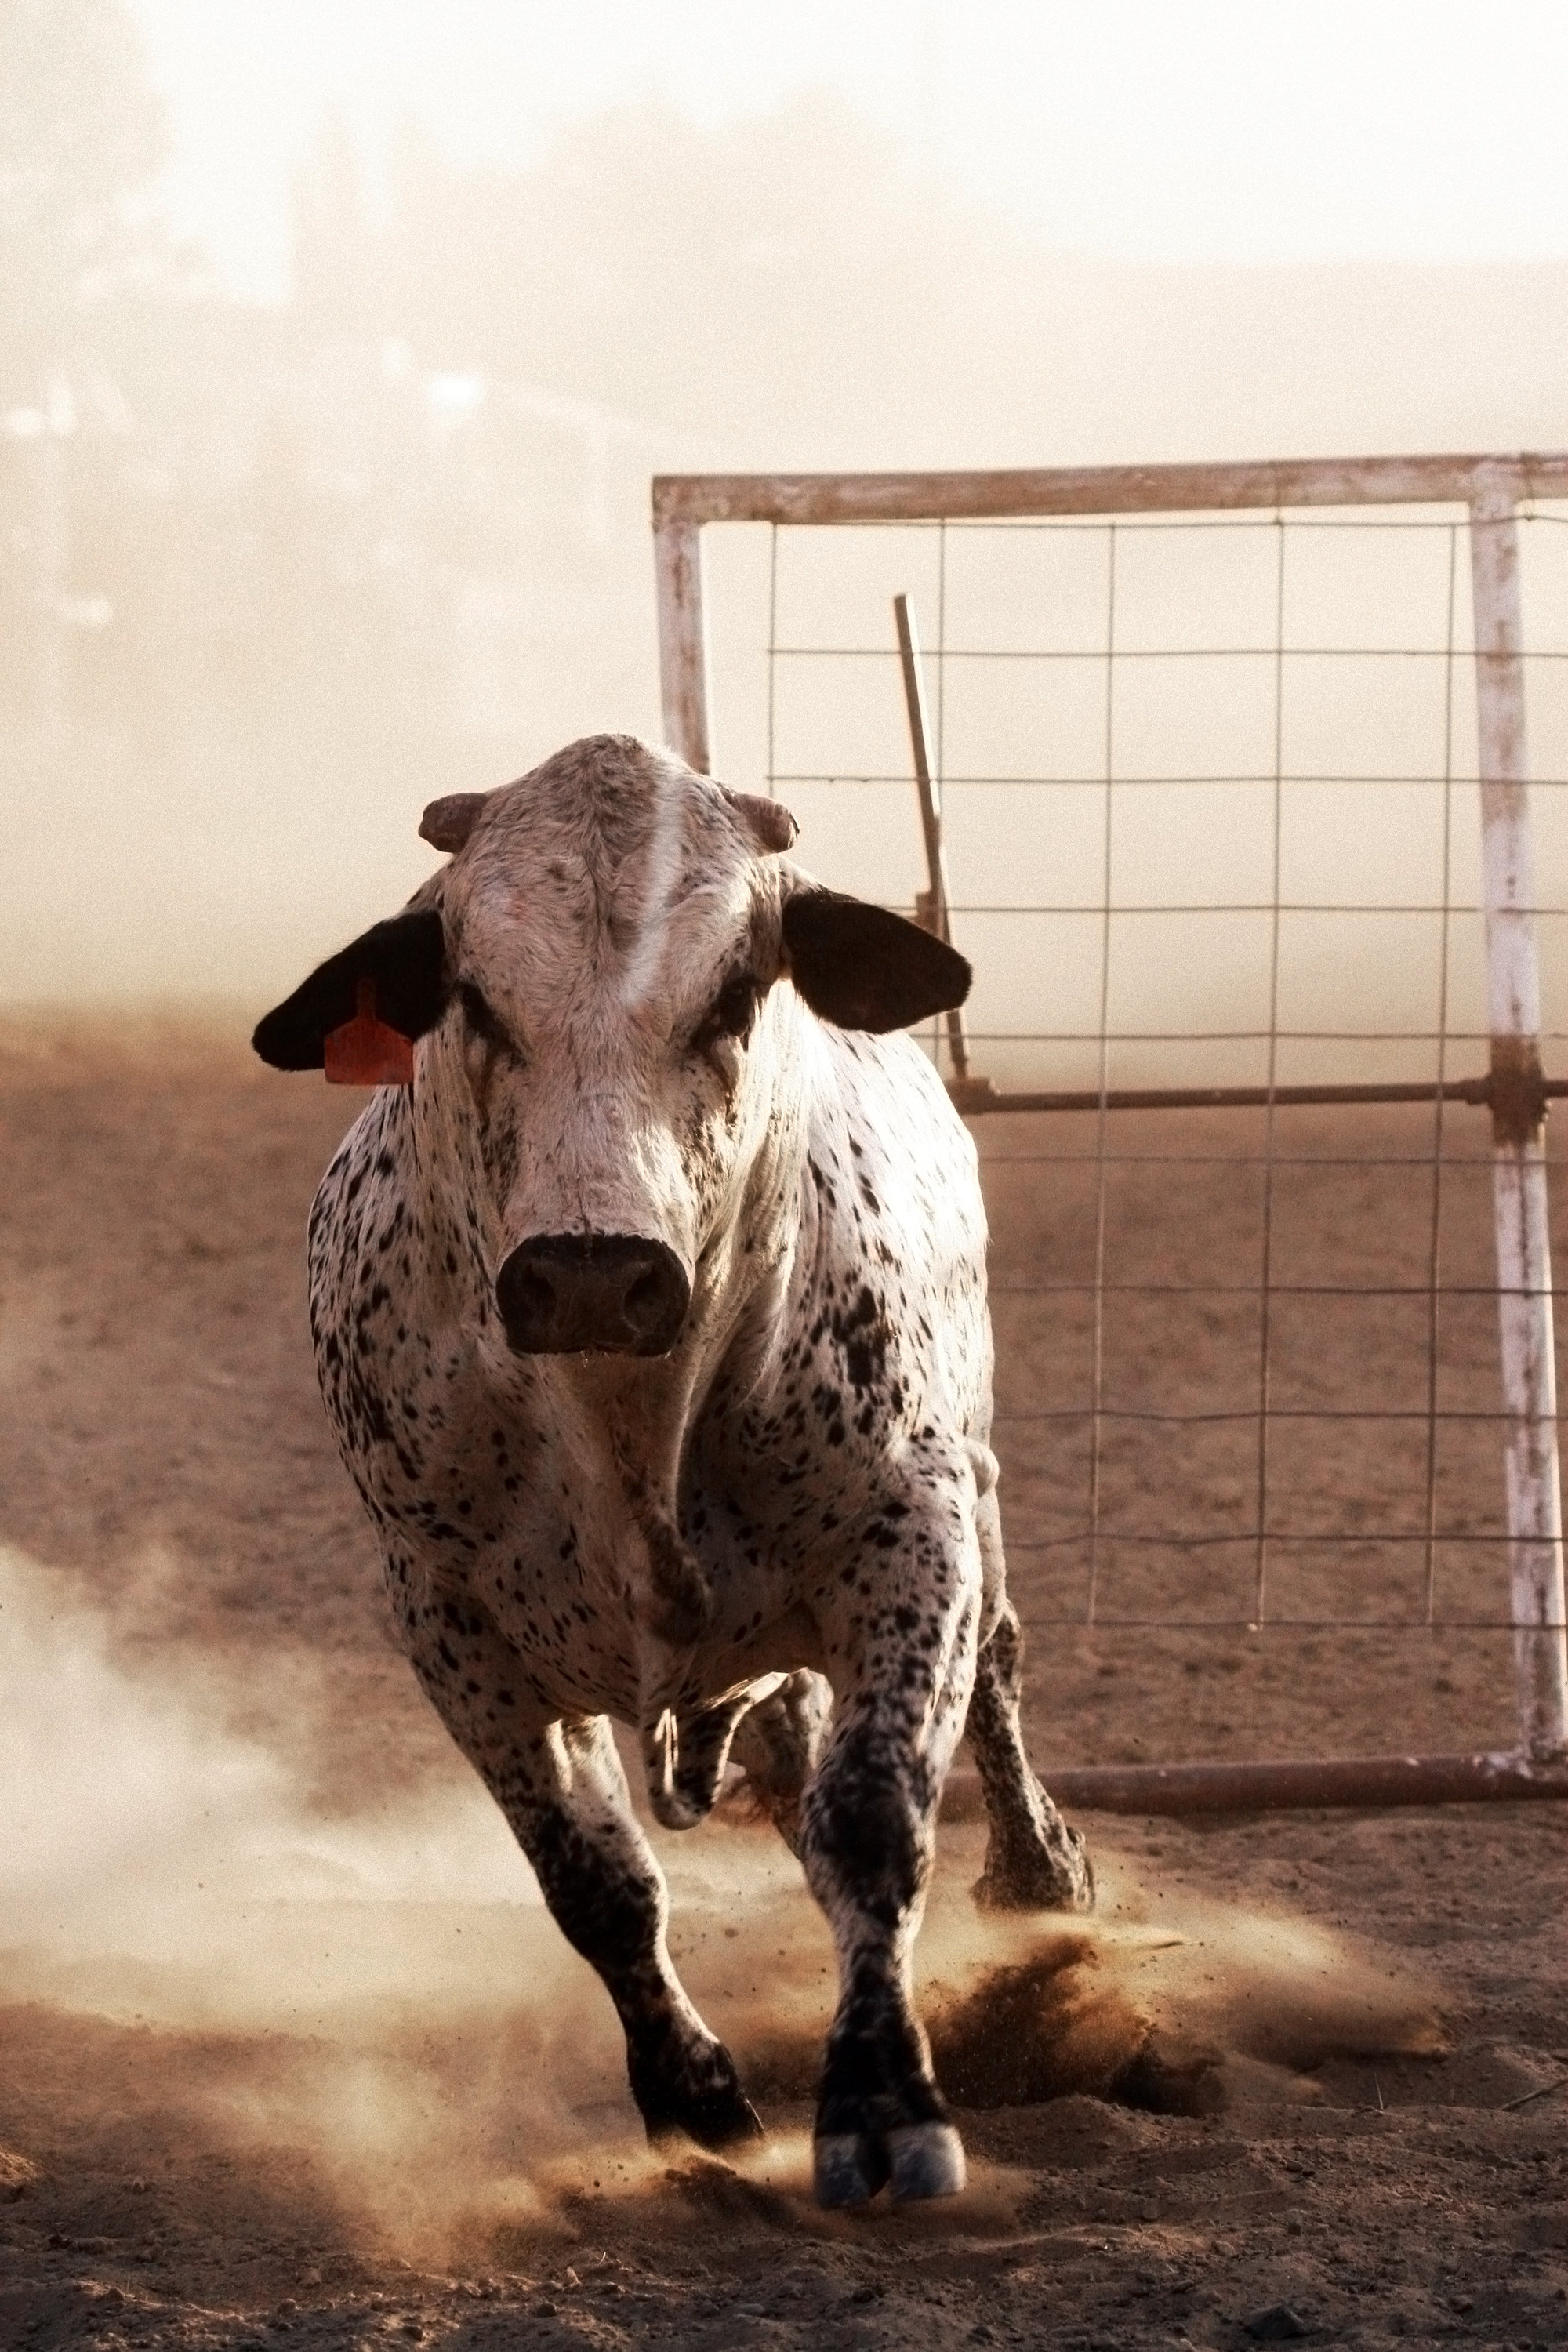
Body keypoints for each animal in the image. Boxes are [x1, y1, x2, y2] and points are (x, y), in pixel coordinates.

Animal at [253, 732, 1093, 2209]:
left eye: (739, 987)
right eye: (473, 993)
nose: (594, 1270)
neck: (629, 1432)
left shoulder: (911, 1530)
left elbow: (877, 1815)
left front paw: (885, 2103)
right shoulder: (449, 1623)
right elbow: (597, 1883)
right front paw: (692, 2091)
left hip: (978, 1477)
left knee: (994, 1660)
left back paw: (1039, 1872)